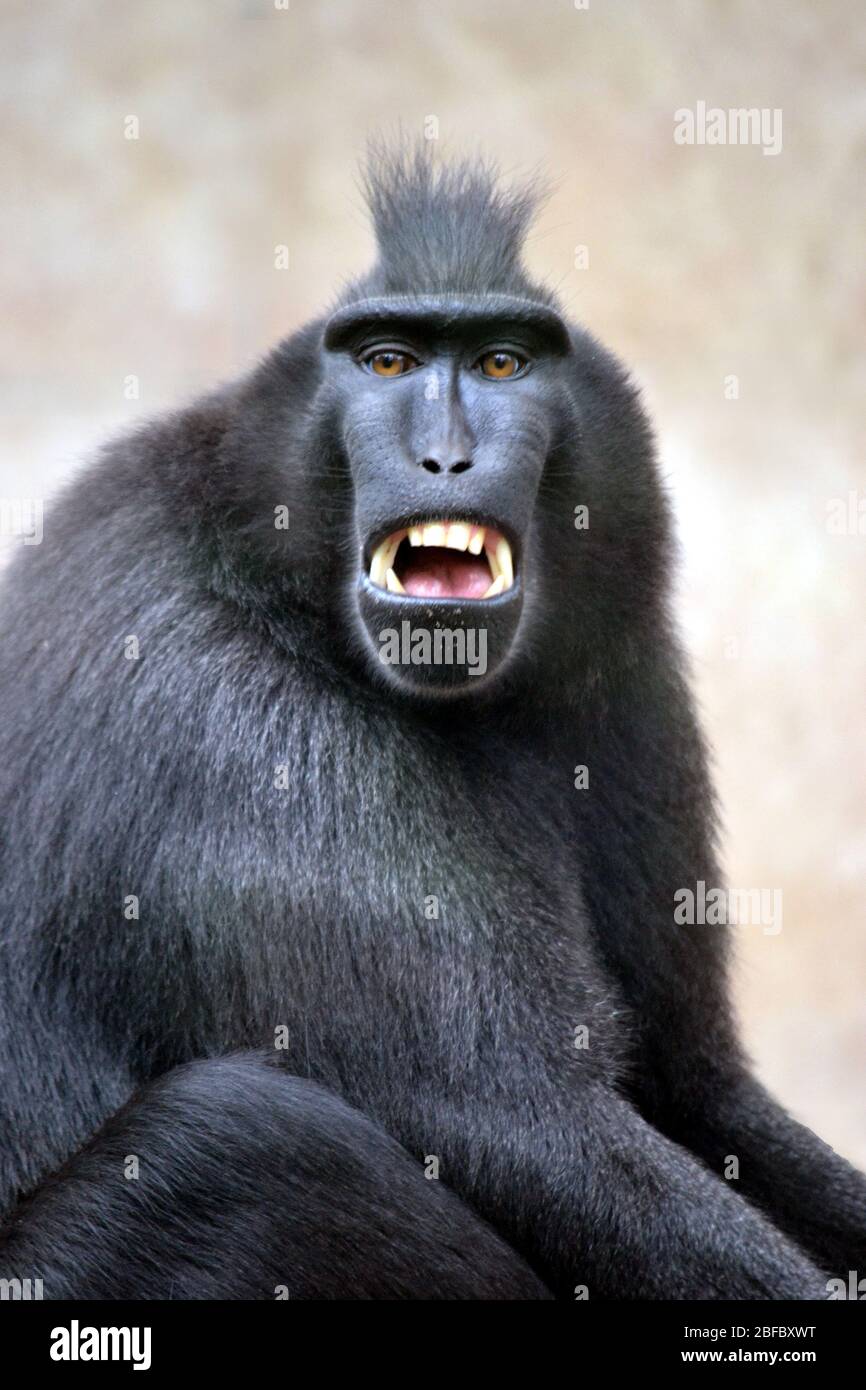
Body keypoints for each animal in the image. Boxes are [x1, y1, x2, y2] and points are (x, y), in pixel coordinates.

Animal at [0, 146, 863, 1300]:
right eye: (387, 362)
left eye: (501, 364)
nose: (445, 458)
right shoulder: (233, 736)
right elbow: (524, 1125)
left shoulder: (620, 677)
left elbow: (697, 1095)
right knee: (241, 1137)